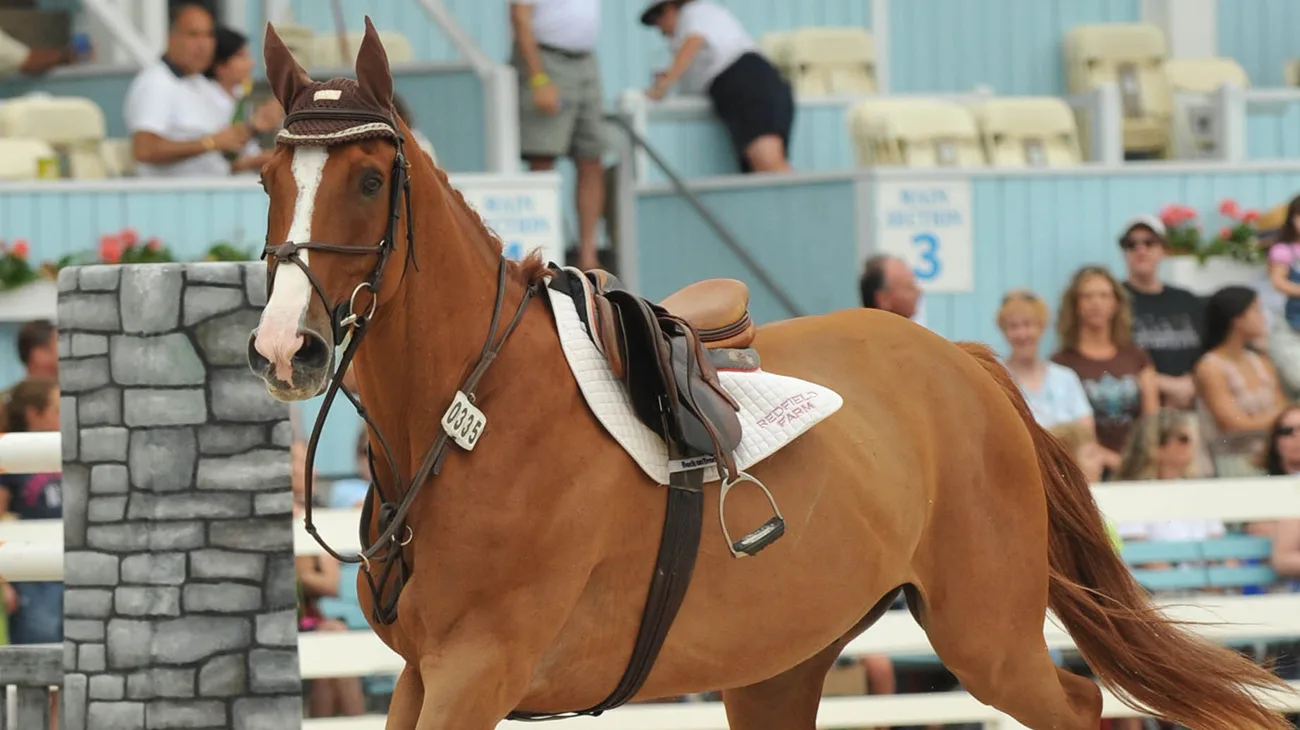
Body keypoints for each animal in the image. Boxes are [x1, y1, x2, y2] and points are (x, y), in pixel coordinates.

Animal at [245, 19, 1294, 730]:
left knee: (1074, 704)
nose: (286, 348)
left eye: (369, 179)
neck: (476, 409)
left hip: (984, 630)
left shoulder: (478, 670)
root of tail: (961, 362)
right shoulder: (425, 674)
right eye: (266, 178)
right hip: (782, 660)